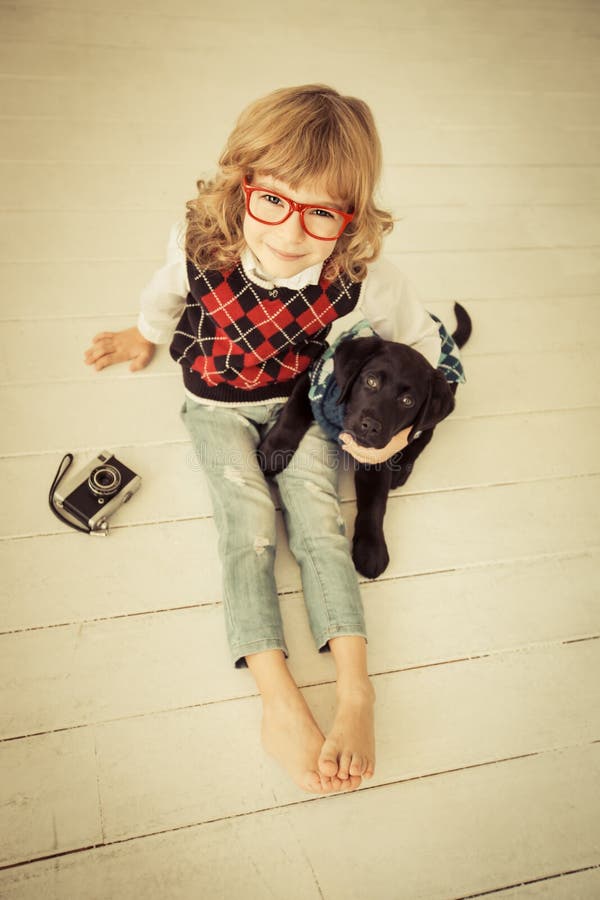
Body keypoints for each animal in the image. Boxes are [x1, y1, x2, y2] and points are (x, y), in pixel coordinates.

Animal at [258, 306, 474, 580]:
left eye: (407, 401)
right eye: (371, 381)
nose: (370, 426)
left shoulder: (376, 458)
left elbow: (374, 505)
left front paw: (371, 549)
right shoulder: (312, 380)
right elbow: (293, 410)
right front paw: (273, 451)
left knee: (424, 434)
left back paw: (402, 468)